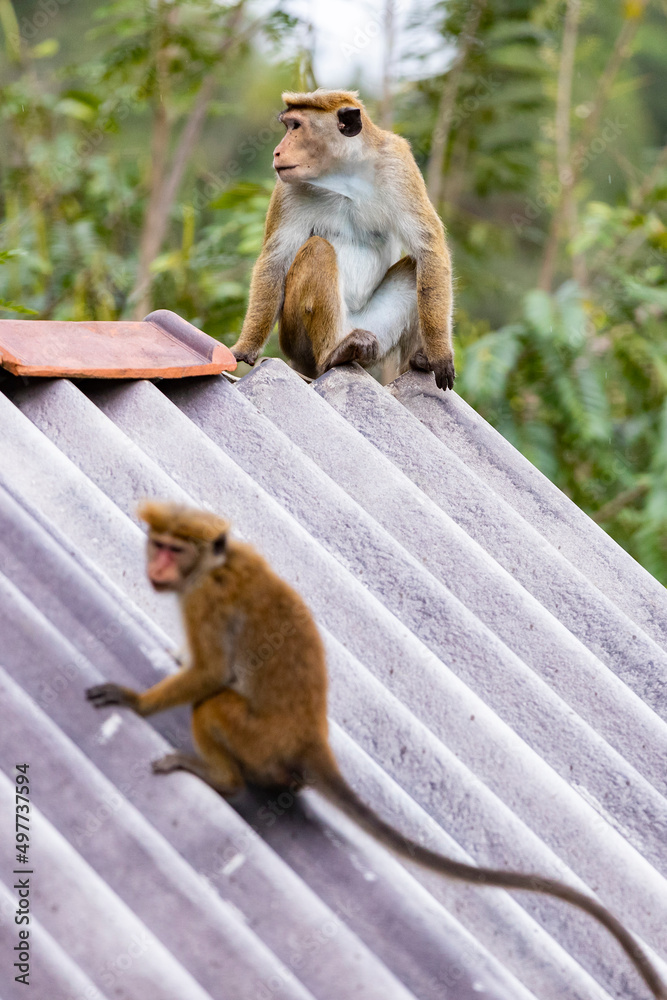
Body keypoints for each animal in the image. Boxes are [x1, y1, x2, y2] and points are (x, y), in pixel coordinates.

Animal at [87, 502, 665, 1000]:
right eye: (158, 544)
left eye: (173, 549)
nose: (157, 564)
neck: (215, 566)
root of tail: (312, 740)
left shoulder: (206, 602)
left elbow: (210, 674)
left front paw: (136, 702)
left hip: (258, 739)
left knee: (213, 706)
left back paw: (220, 778)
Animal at [229, 89, 455, 390]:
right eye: (288, 126)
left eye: (296, 127)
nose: (277, 151)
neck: (343, 174)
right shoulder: (287, 186)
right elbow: (275, 260)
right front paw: (244, 349)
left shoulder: (397, 164)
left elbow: (429, 249)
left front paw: (439, 353)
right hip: (295, 338)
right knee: (317, 250)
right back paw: (334, 353)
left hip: (375, 329)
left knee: (413, 270)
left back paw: (414, 363)